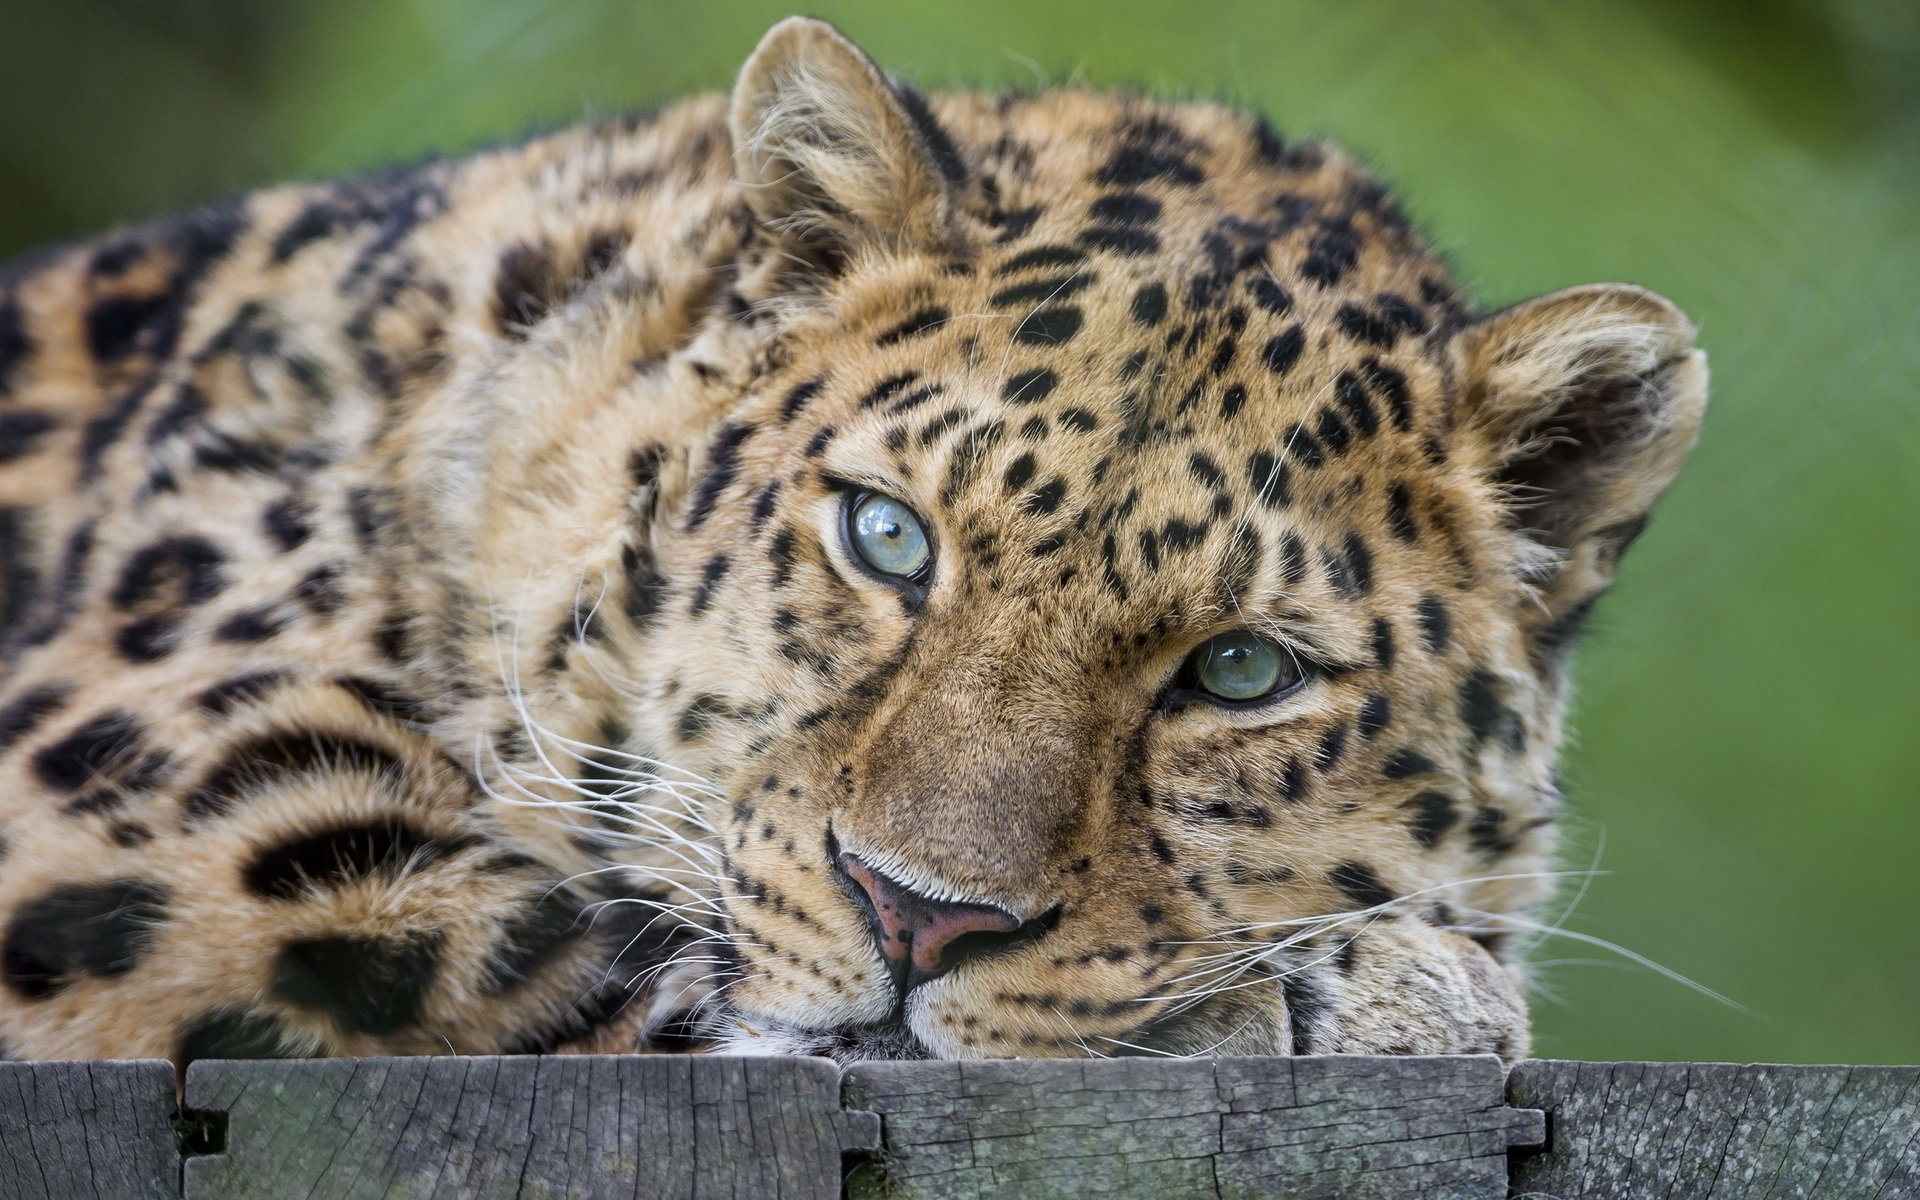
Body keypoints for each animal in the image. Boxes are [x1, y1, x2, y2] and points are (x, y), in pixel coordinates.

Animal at [0, 17, 1706, 1068]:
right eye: (887, 538)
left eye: (1239, 672)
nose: (921, 916)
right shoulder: (142, 834)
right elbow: (538, 957)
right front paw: (1361, 998)